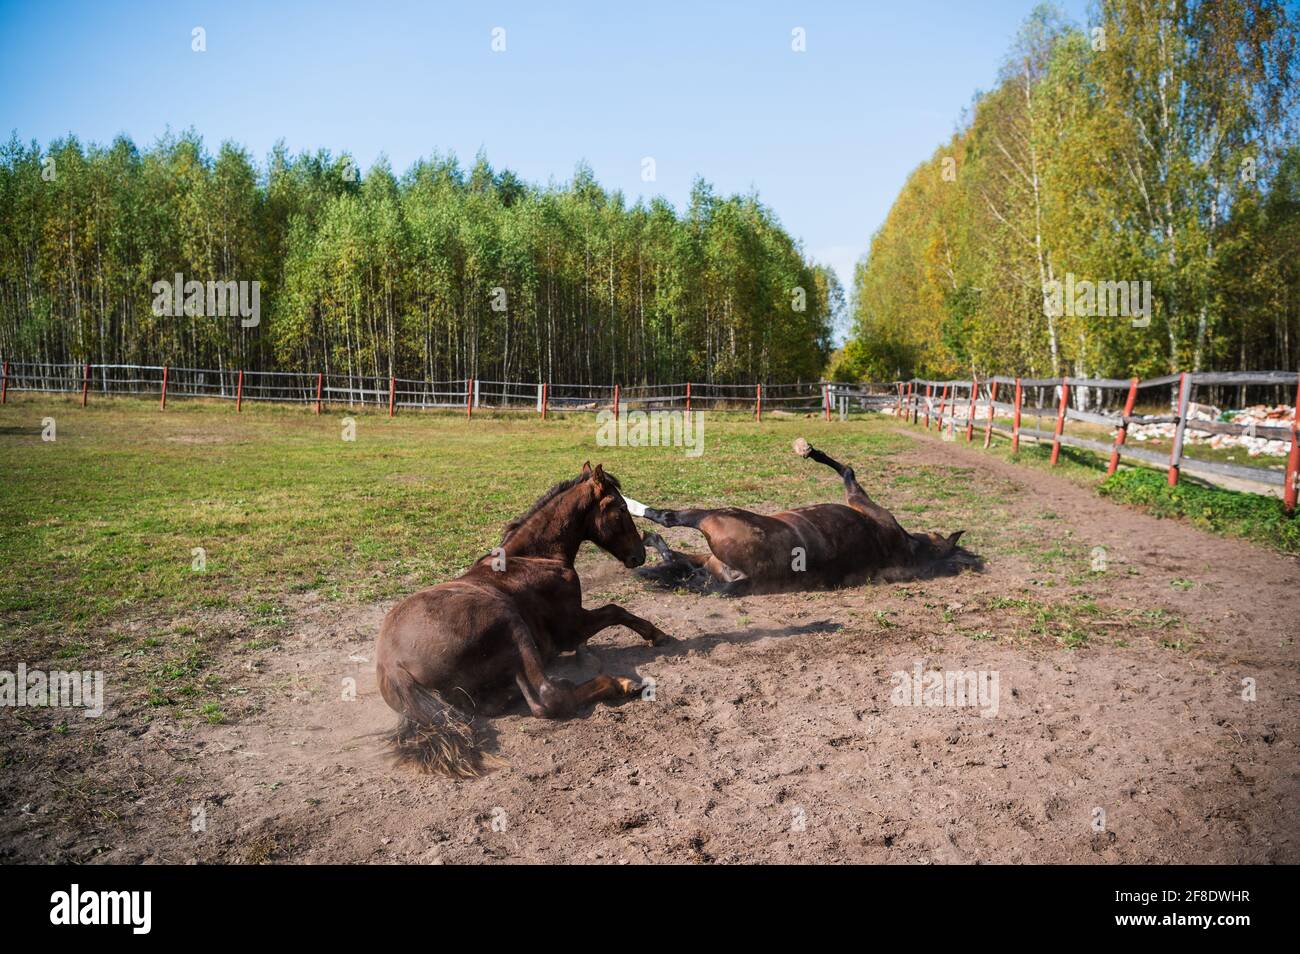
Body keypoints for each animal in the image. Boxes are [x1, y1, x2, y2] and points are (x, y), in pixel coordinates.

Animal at [375, 462, 673, 776]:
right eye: (621, 508)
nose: (639, 555)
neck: (536, 558)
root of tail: (393, 667)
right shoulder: (572, 627)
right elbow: (616, 610)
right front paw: (655, 634)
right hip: (510, 621)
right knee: (547, 698)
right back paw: (619, 684)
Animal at [629, 438, 975, 595]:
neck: (908, 547)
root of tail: (746, 578)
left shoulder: (860, 501)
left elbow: (848, 471)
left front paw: (810, 451)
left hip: (715, 517)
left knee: (667, 519)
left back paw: (633, 510)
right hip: (706, 557)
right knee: (674, 557)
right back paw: (650, 546)